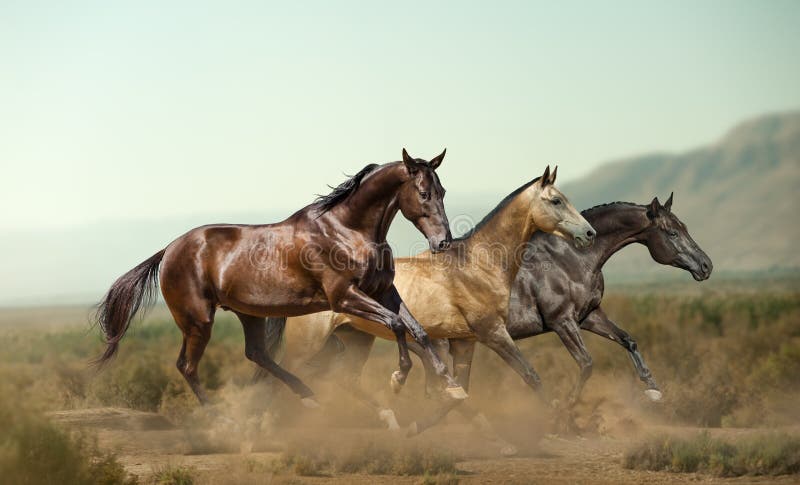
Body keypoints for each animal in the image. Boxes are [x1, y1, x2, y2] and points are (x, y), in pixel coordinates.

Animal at [92, 149, 468, 406]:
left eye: (443, 192)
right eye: (424, 194)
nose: (443, 242)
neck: (346, 230)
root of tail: (168, 250)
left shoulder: (384, 291)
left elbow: (417, 329)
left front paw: (451, 384)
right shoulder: (344, 297)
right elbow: (397, 324)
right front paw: (398, 377)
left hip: (248, 313)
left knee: (257, 353)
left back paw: (307, 394)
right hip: (198, 321)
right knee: (187, 366)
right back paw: (218, 415)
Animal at [260, 165, 592, 424]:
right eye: (556, 200)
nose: (588, 233)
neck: (478, 264)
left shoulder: (465, 342)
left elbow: (460, 389)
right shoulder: (493, 332)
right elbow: (531, 375)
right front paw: (555, 421)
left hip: (356, 338)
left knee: (343, 378)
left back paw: (389, 419)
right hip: (306, 345)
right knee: (280, 377)